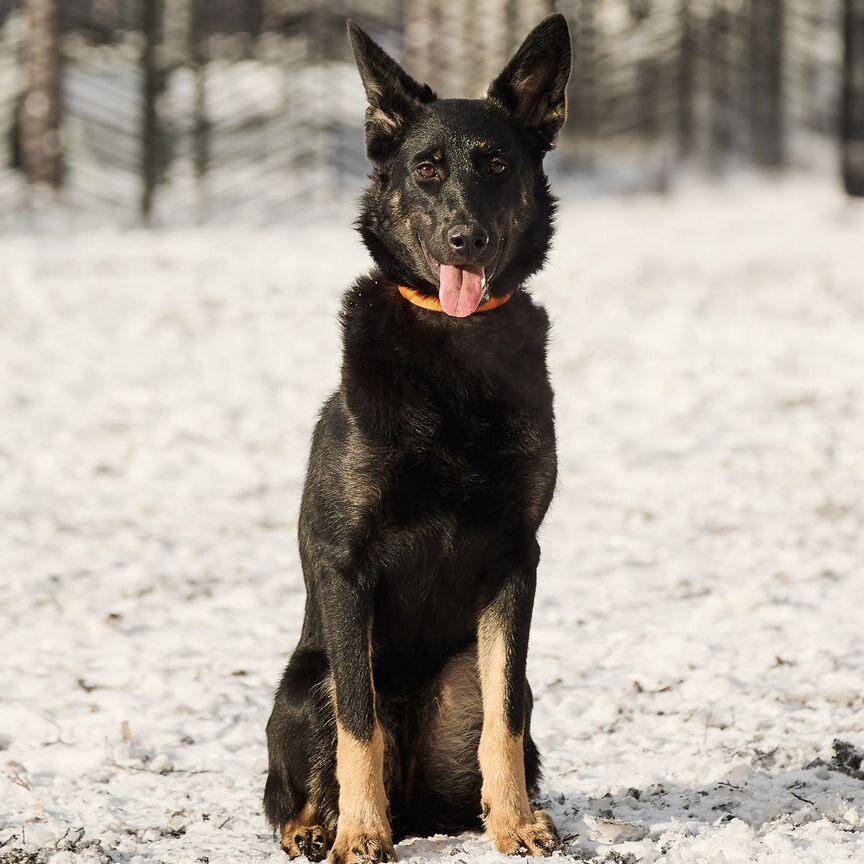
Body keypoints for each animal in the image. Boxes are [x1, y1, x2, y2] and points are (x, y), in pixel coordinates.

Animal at [264, 15, 572, 864]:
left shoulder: (516, 557)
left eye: (496, 164)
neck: (453, 349)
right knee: (291, 782)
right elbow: (358, 725)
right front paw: (360, 834)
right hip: (304, 685)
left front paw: (517, 824)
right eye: (427, 170)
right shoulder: (347, 563)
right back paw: (320, 827)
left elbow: (503, 719)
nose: (467, 239)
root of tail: (418, 806)